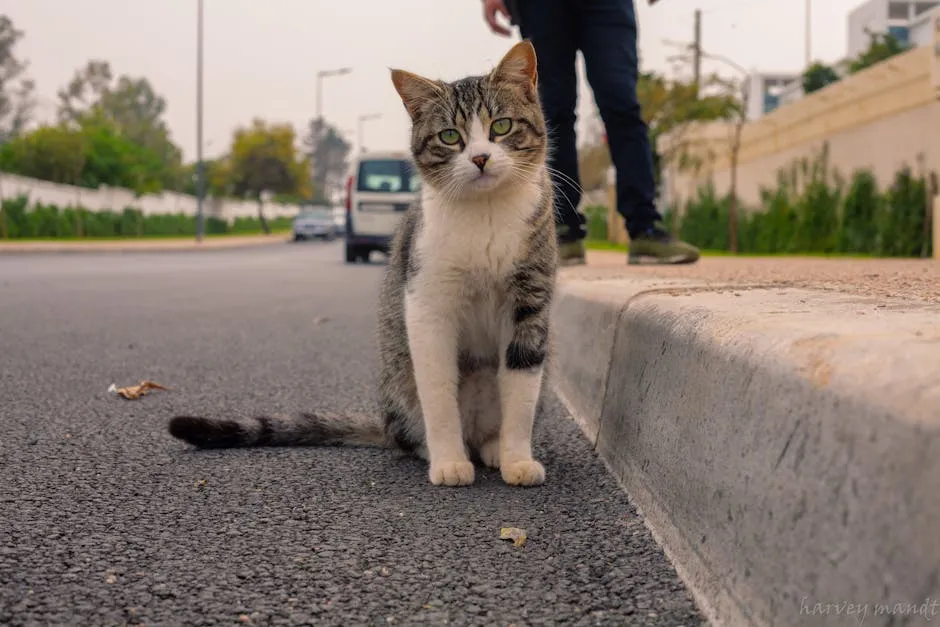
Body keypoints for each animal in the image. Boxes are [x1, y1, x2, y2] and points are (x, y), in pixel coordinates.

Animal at [167, 41, 560, 488]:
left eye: (502, 126)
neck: (486, 212)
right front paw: (448, 461)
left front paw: (517, 459)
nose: (479, 158)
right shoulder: (427, 301)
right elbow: (438, 389)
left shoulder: (530, 297)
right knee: (414, 425)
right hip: (399, 382)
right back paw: (441, 450)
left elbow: (521, 386)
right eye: (450, 136)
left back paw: (492, 447)